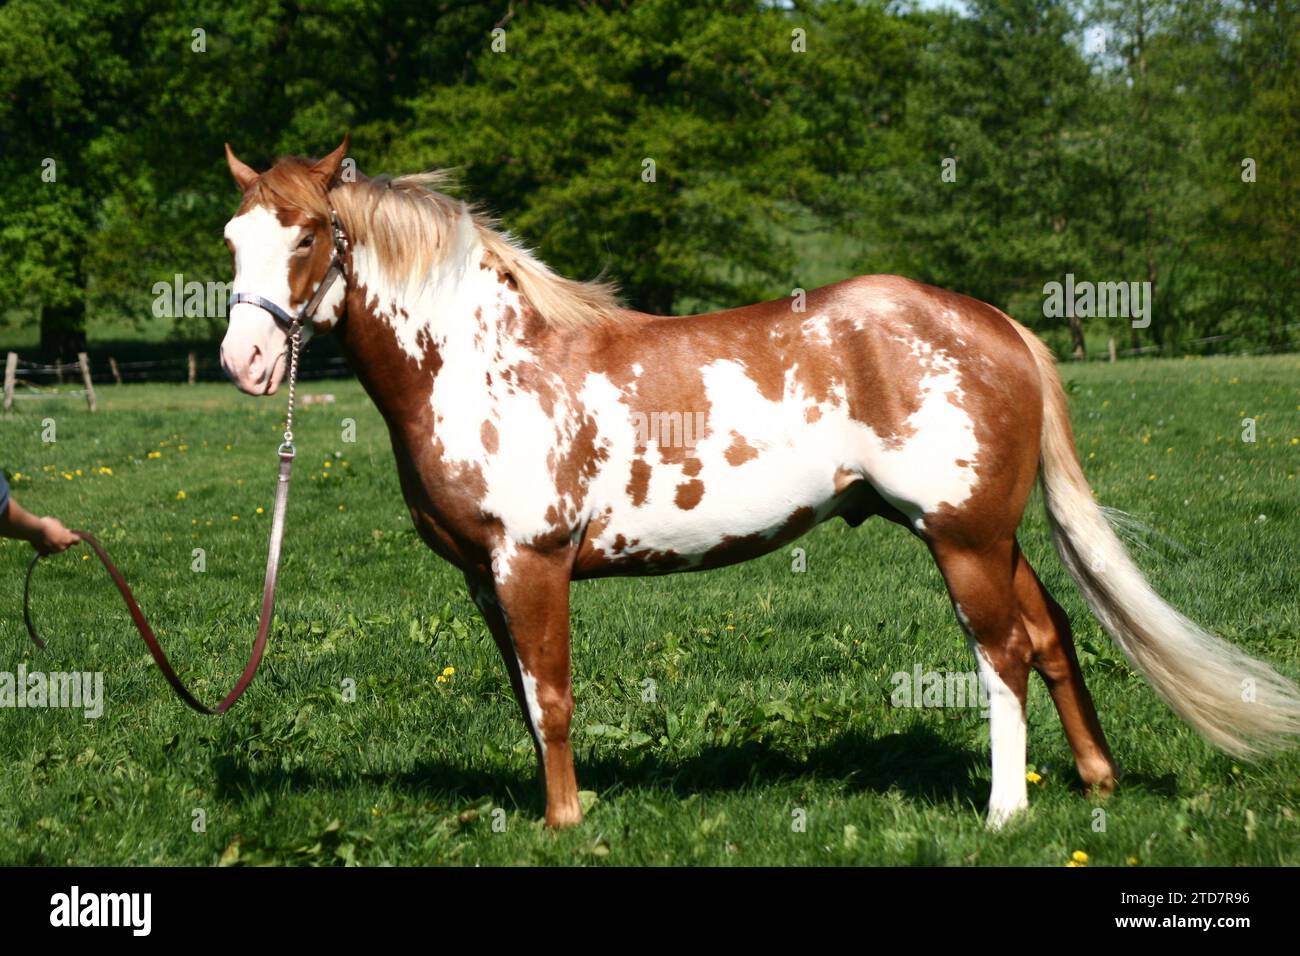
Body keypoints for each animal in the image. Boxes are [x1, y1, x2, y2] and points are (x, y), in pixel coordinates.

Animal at [218, 136, 1300, 829]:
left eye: (307, 234)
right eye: (233, 239)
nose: (245, 359)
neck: (491, 361)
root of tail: (996, 325)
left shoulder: (533, 560)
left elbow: (554, 697)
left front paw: (566, 826)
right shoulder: (485, 578)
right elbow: (527, 700)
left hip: (962, 539)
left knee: (1001, 656)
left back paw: (1005, 811)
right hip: (984, 532)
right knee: (1052, 633)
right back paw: (1096, 781)